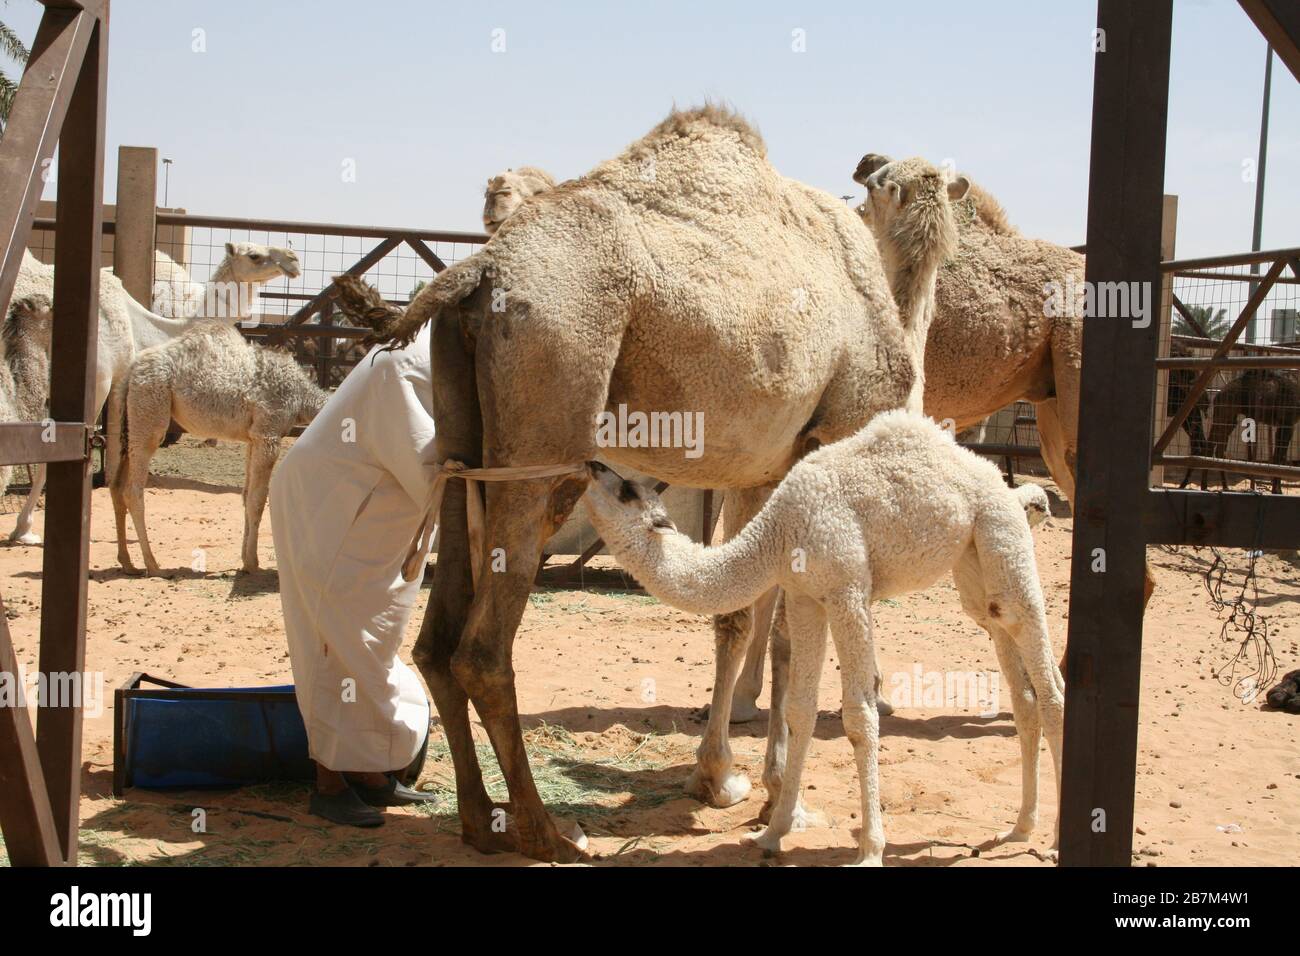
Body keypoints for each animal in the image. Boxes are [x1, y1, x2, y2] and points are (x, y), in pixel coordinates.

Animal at [111, 321, 327, 575]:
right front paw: (253, 563)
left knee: (116, 487)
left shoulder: (253, 438)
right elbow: (258, 499)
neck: (302, 397)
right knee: (133, 490)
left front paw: (244, 560)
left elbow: (246, 495)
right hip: (149, 411)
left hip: (129, 420)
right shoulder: (269, 433)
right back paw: (153, 566)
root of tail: (132, 370)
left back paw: (127, 563)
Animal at [372, 106, 916, 861]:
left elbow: (748, 620)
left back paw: (480, 822)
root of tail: (480, 268)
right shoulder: (831, 436)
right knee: (483, 648)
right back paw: (548, 831)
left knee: (434, 640)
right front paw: (777, 795)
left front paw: (735, 782)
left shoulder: (766, 467)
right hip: (550, 419)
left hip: (459, 438)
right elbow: (783, 628)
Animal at [583, 411, 1064, 865]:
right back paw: (1019, 828)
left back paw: (1056, 839)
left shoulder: (846, 589)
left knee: (1050, 688)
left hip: (1002, 537)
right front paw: (773, 832)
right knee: (1020, 685)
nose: (592, 464)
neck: (778, 533)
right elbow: (800, 709)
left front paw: (870, 850)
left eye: (628, 489)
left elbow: (859, 715)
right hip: (975, 571)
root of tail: (1007, 487)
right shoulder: (804, 596)